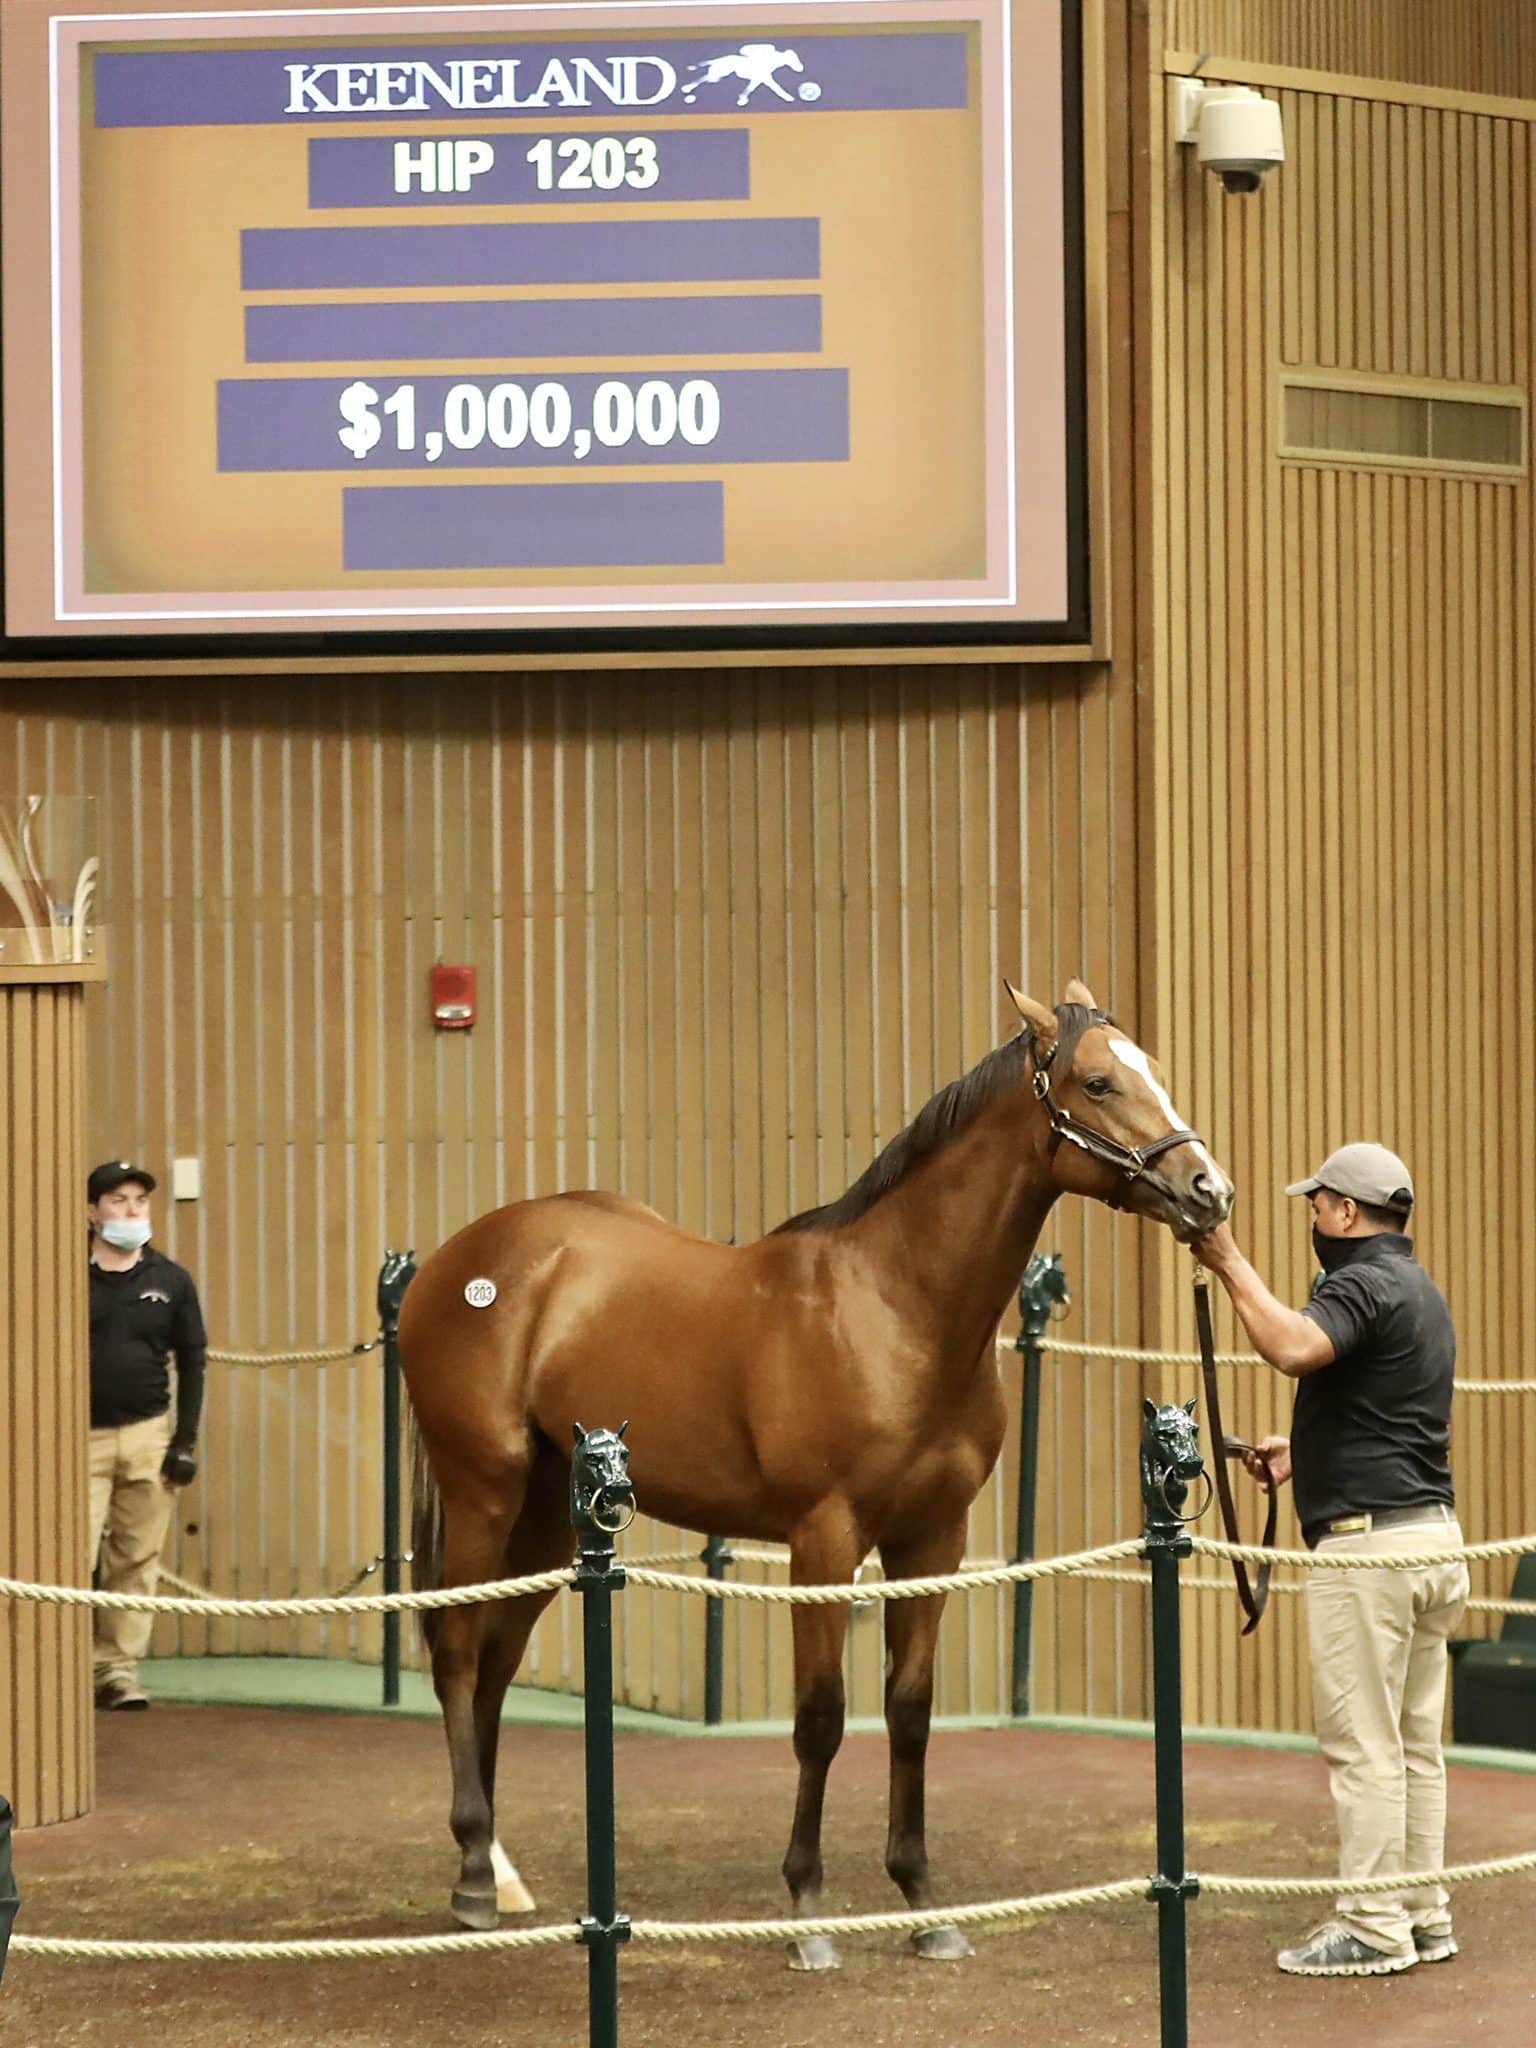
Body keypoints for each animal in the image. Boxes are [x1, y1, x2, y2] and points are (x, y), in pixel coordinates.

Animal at [400, 980, 1233, 1967]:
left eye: (1153, 1069)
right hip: (483, 1491)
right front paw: (808, 1909)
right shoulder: (824, 1540)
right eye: (1098, 1081)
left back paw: (497, 1867)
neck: (896, 1308)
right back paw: (473, 1876)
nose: (1209, 1191)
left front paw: (923, 1902)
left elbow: (909, 1711)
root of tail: (457, 1262)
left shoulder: (933, 1539)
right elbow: (822, 1717)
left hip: (545, 1516)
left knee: (492, 1664)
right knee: (457, 1651)